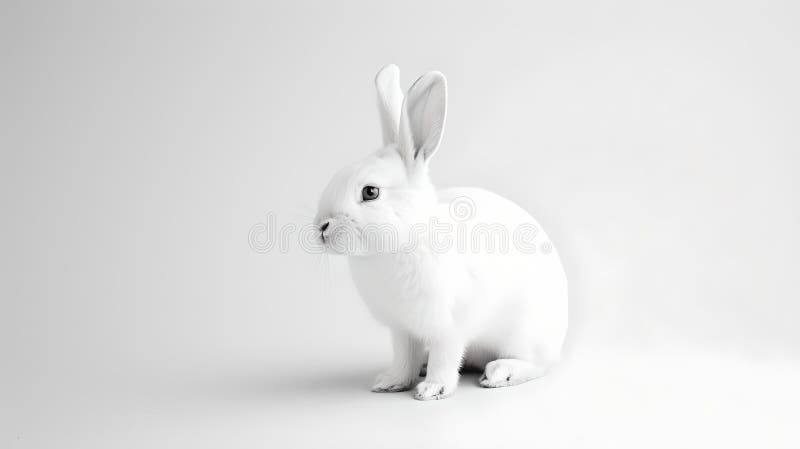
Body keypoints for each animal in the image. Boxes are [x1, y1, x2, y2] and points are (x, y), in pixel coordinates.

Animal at [313, 64, 568, 400]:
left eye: (370, 192)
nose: (321, 228)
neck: (404, 238)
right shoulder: (402, 330)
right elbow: (403, 358)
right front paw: (390, 382)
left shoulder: (449, 327)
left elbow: (445, 358)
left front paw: (432, 390)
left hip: (525, 334)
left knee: (537, 365)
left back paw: (501, 372)